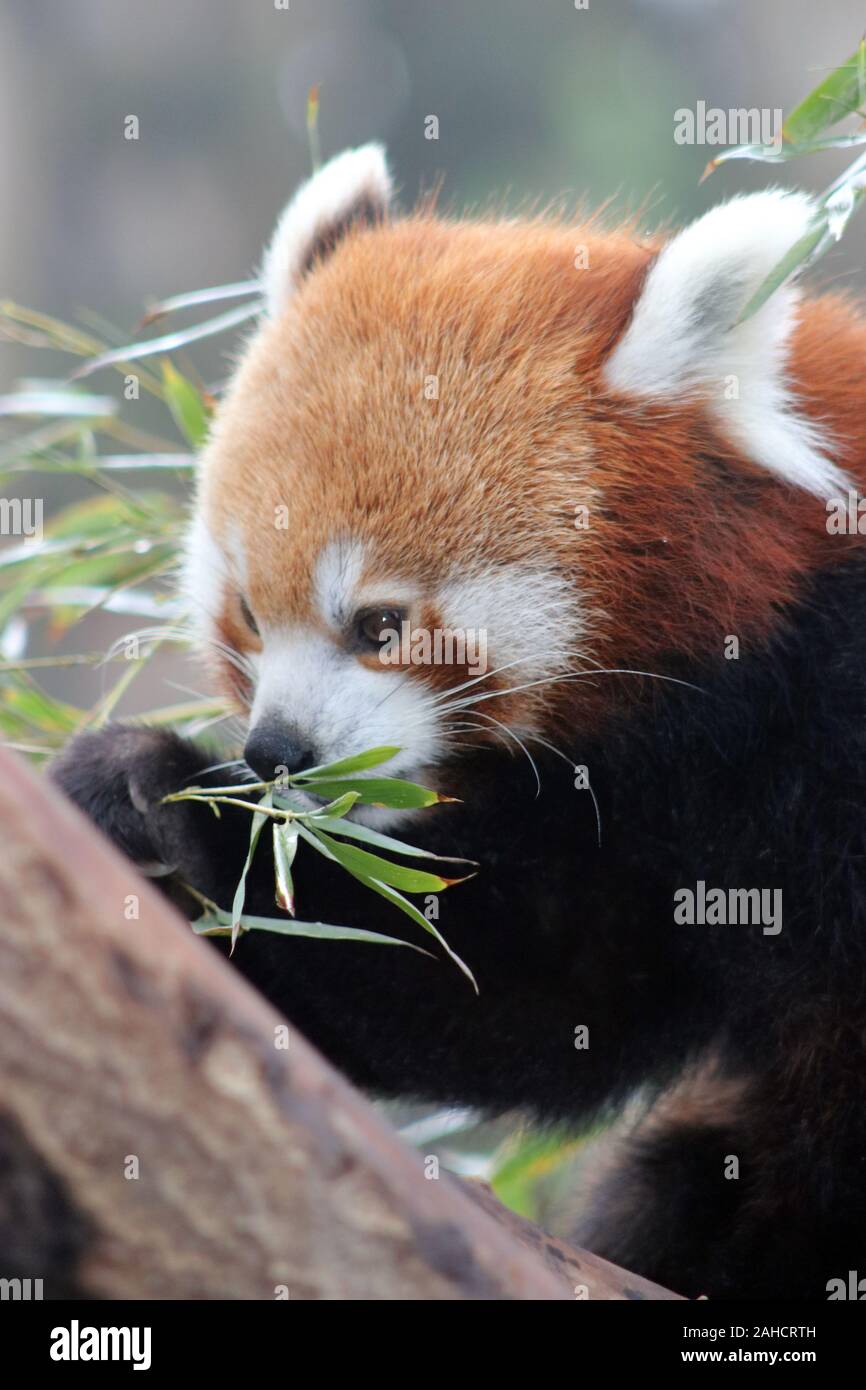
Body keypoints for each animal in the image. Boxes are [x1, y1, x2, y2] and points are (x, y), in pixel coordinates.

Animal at [52, 144, 866, 1299]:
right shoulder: (639, 820)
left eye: (379, 623)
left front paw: (169, 793)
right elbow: (524, 984)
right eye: (249, 612)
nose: (277, 753)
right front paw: (162, 819)